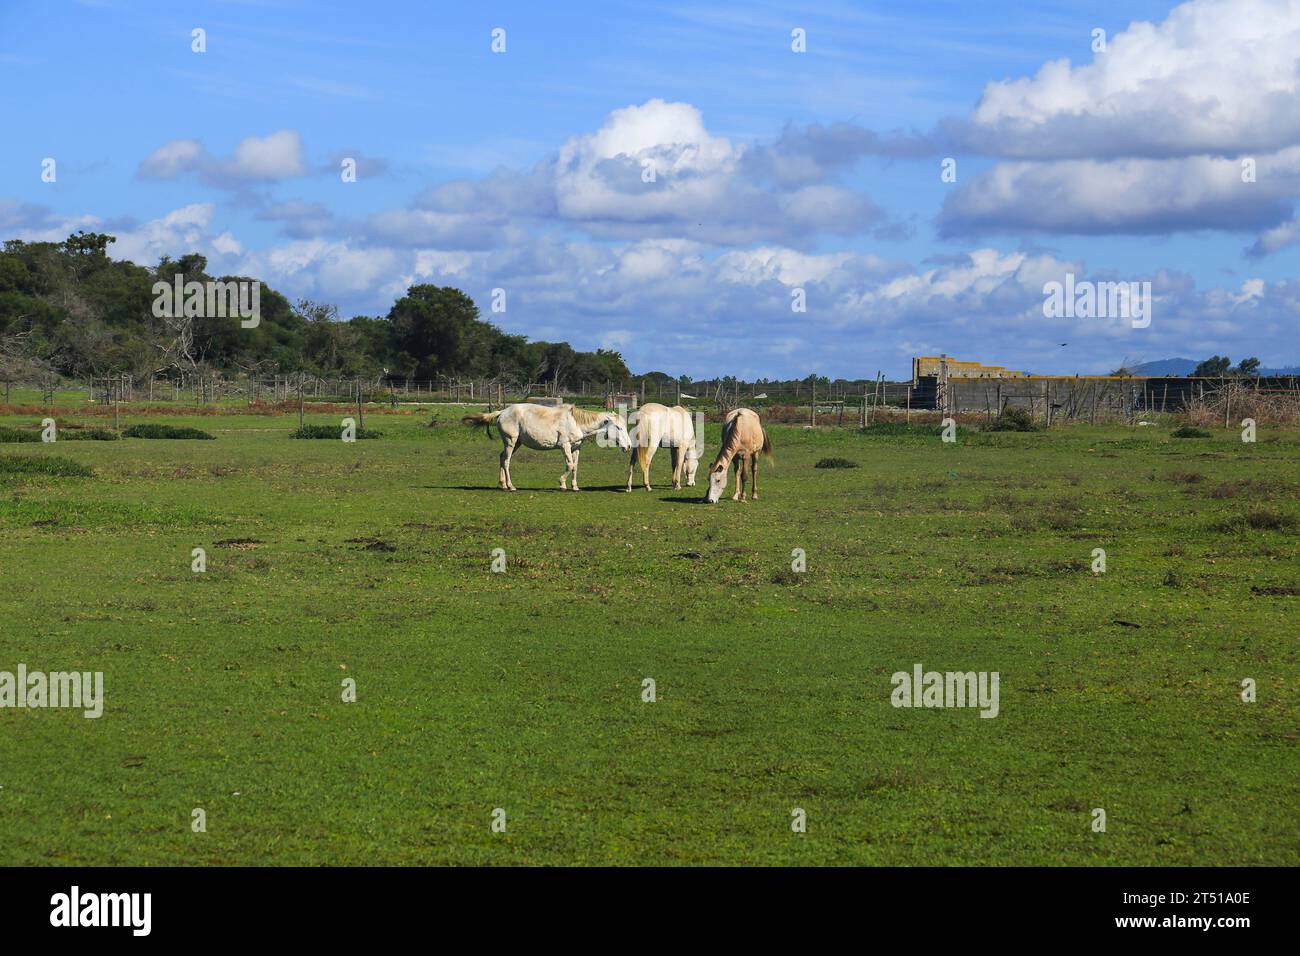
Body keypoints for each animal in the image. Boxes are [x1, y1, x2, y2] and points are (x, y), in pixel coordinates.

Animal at [463, 403, 631, 491]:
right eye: (619, 427)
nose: (629, 446)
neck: (576, 422)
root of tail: (503, 411)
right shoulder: (565, 446)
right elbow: (569, 465)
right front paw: (562, 484)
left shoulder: (576, 448)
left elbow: (575, 466)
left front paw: (575, 487)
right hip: (511, 442)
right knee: (506, 461)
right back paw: (511, 486)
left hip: (516, 443)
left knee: (501, 458)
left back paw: (502, 484)